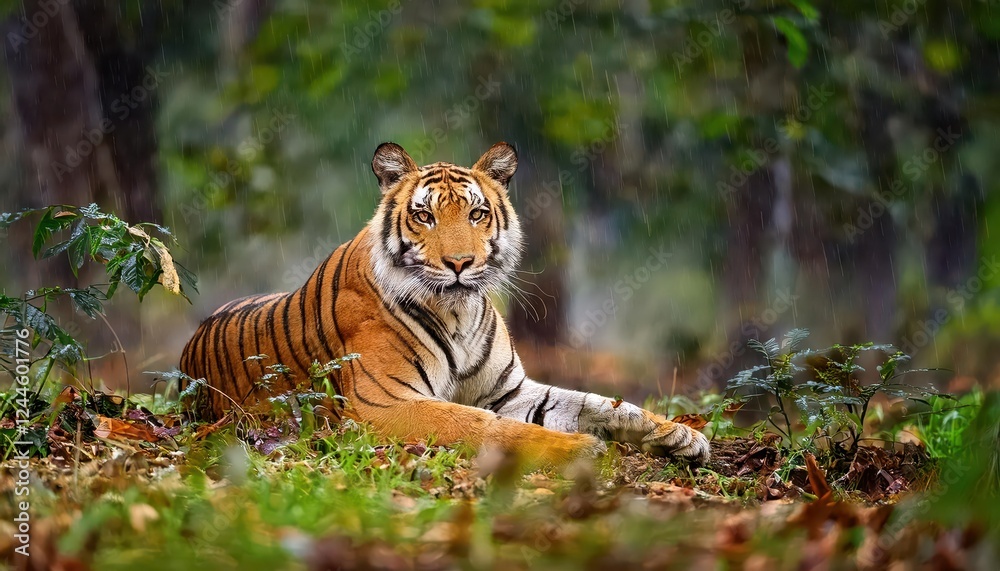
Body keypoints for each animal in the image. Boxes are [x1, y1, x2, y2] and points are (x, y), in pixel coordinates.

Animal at [179, 142, 710, 465]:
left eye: (476, 214)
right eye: (424, 216)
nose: (459, 262)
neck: (459, 313)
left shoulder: (510, 391)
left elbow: (601, 402)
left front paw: (681, 435)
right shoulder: (383, 403)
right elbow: (484, 426)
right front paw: (579, 448)